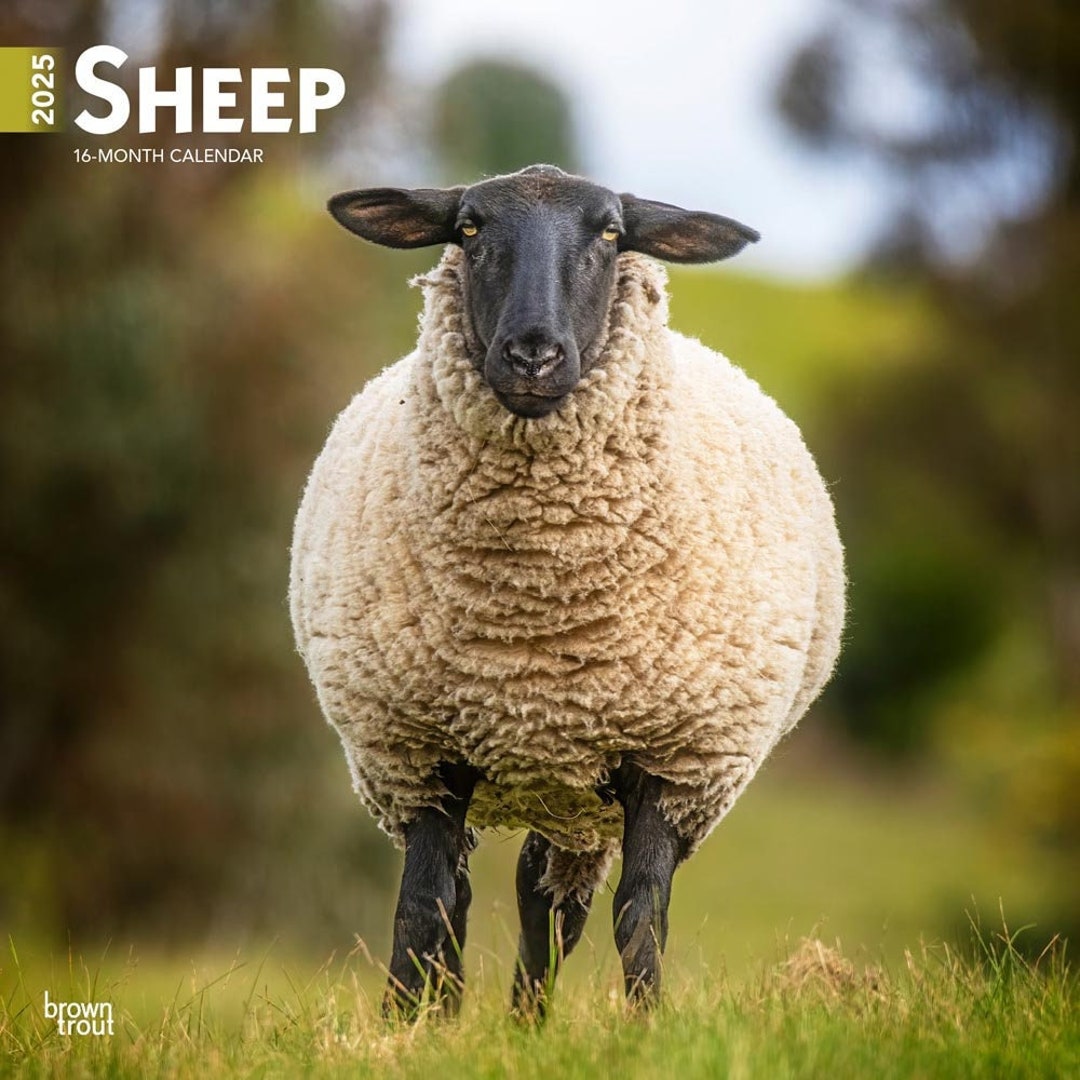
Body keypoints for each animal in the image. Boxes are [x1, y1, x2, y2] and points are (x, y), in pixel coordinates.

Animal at [289, 164, 845, 1017]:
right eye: (470, 228)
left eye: (612, 232)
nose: (533, 354)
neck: (537, 610)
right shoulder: (420, 753)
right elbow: (423, 907)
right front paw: (403, 1025)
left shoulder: (673, 764)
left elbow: (639, 914)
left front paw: (649, 1026)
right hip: (535, 781)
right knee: (484, 898)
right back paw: (462, 1013)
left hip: (574, 791)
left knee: (549, 905)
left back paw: (526, 1021)